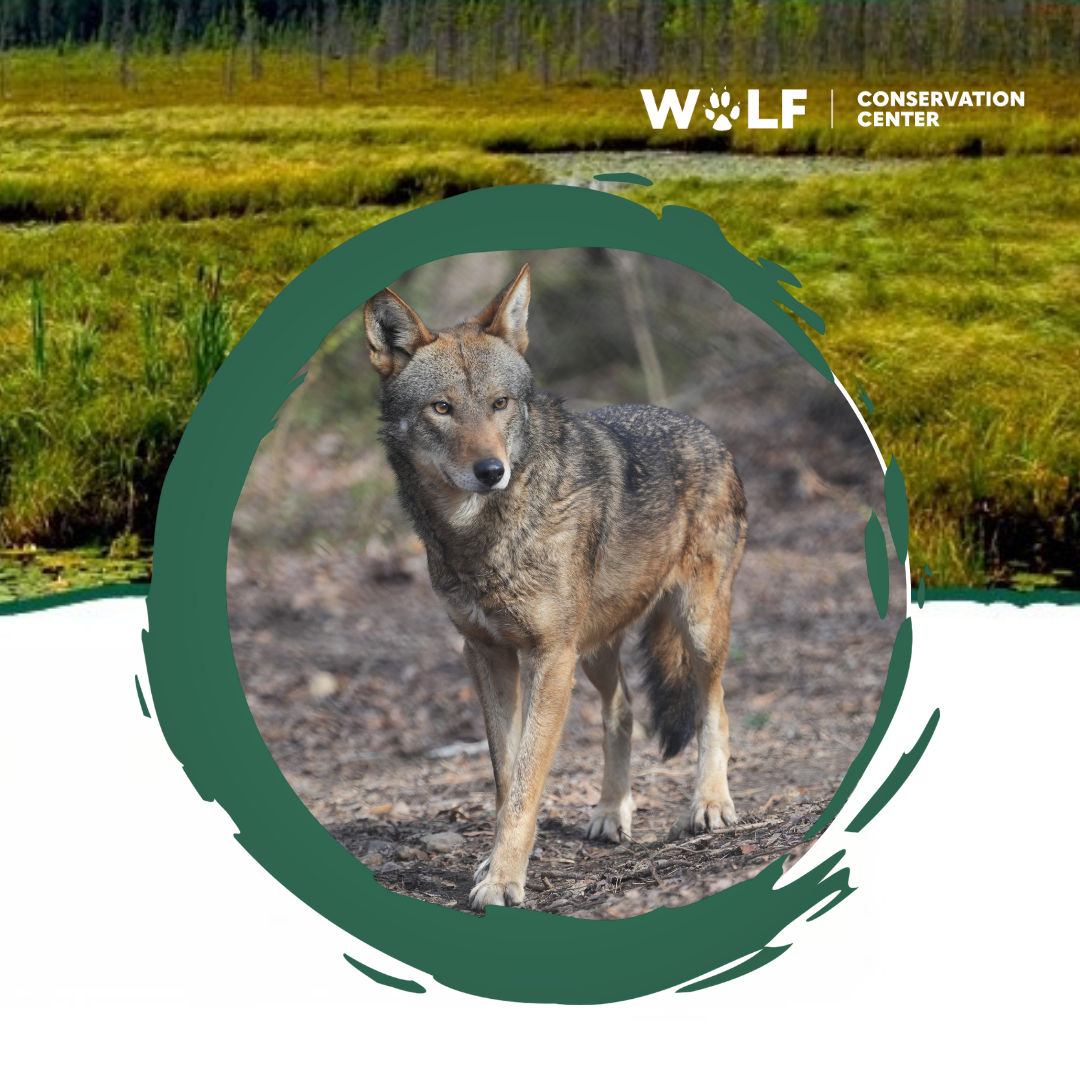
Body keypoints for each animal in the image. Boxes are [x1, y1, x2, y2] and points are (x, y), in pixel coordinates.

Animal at [364, 264, 746, 911]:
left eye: (500, 403)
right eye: (442, 408)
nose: (491, 470)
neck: (482, 538)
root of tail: (702, 427)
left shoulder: (549, 657)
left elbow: (525, 783)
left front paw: (502, 880)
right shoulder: (487, 654)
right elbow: (505, 777)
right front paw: (496, 863)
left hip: (694, 627)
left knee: (712, 708)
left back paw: (711, 805)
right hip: (593, 650)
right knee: (622, 712)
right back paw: (611, 813)